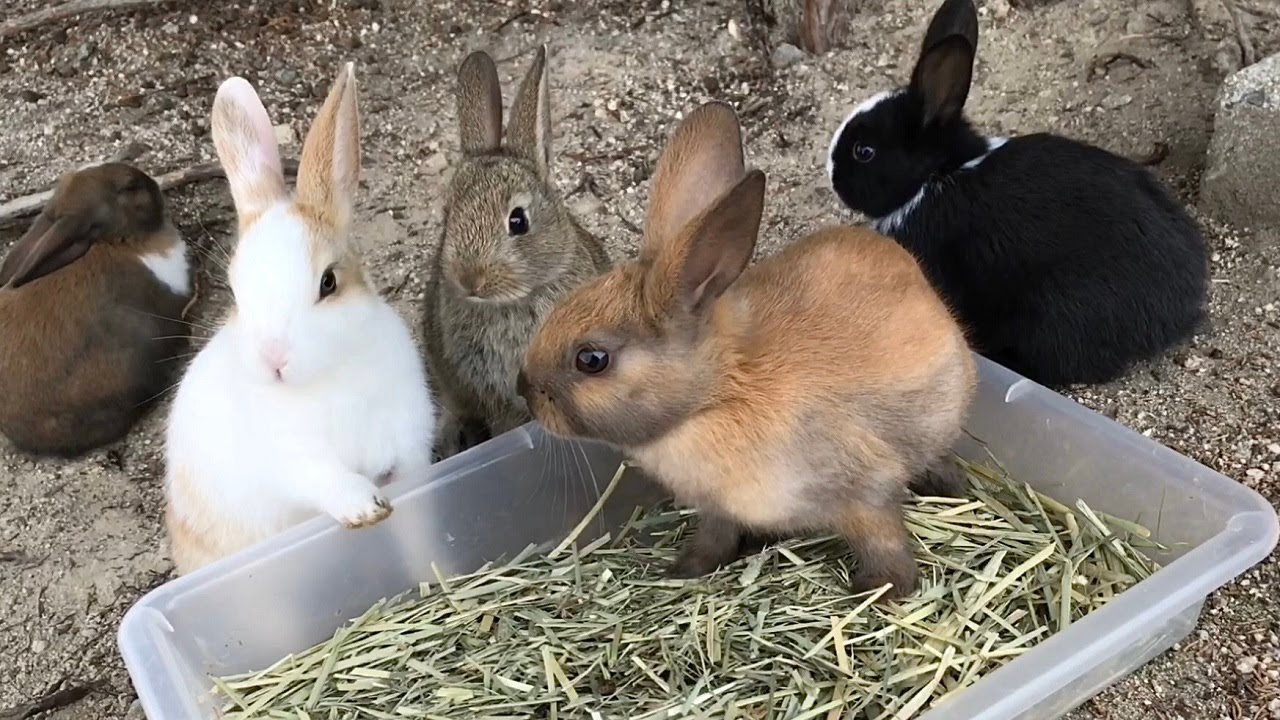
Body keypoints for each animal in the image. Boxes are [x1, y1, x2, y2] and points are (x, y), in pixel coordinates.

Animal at [163, 63, 437, 576]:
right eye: (235, 292)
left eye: (328, 282)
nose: (274, 360)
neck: (330, 376)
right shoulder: (294, 461)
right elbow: (325, 478)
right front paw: (365, 508)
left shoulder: (410, 438)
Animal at [517, 102, 976, 600]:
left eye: (592, 359)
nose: (524, 389)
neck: (715, 398)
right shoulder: (719, 511)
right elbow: (714, 539)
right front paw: (684, 570)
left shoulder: (865, 493)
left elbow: (883, 541)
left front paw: (882, 590)